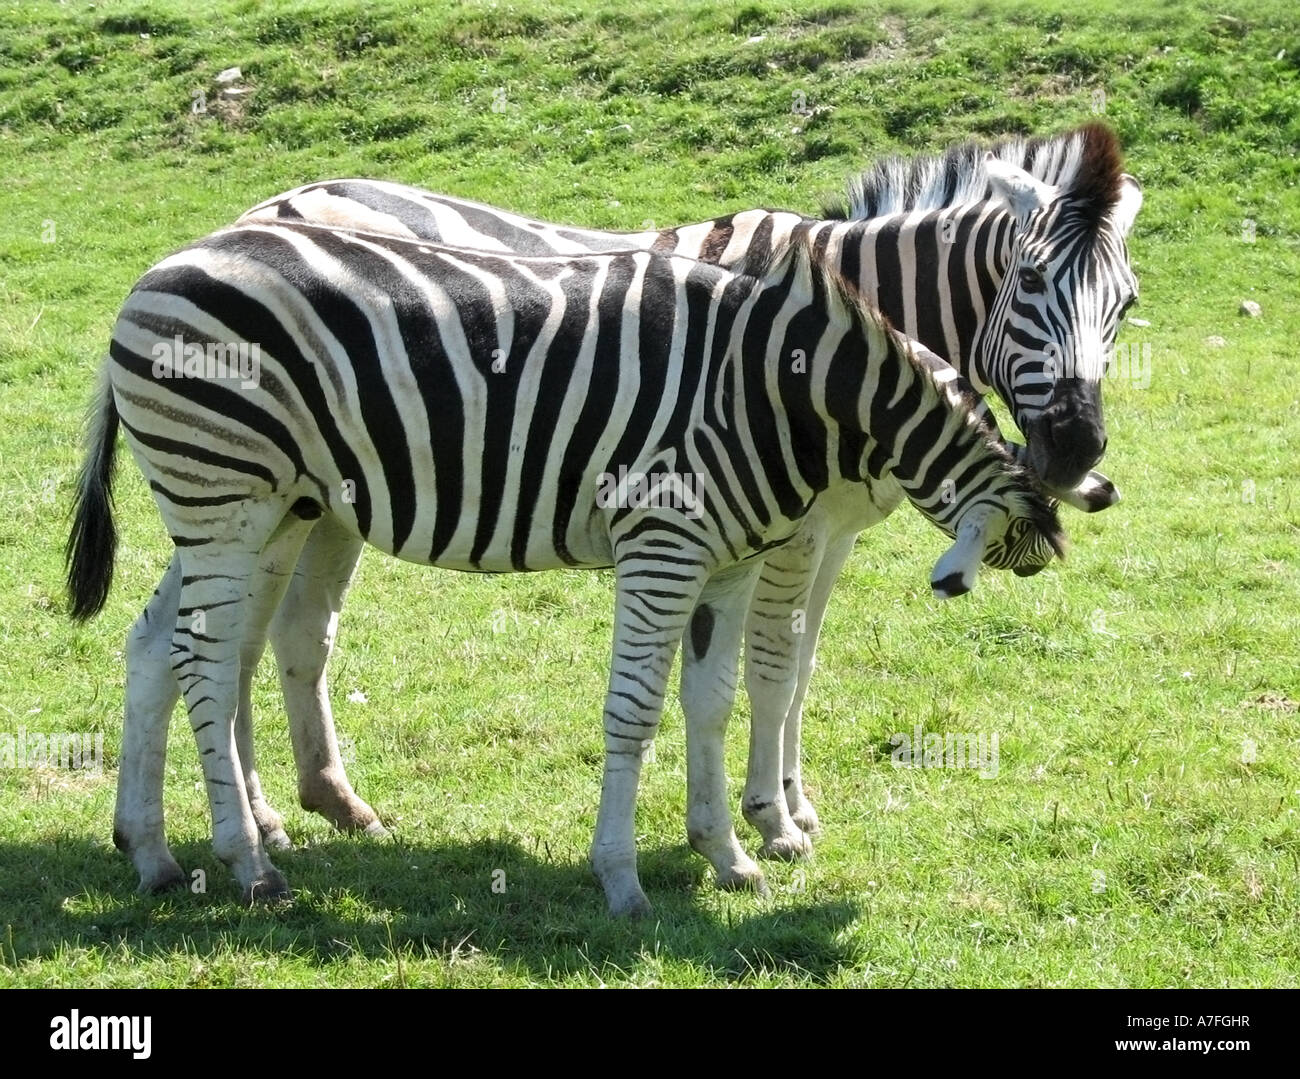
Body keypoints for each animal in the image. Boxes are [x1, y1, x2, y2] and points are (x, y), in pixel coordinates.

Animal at [67, 221, 1068, 914]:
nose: (1082, 476)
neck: (781, 391)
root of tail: (161, 268)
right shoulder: (663, 544)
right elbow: (636, 711)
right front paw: (623, 878)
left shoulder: (730, 562)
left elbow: (713, 700)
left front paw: (727, 854)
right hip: (224, 494)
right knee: (204, 658)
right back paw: (247, 862)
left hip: (252, 507)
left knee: (160, 645)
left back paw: (152, 851)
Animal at [231, 122, 1139, 854]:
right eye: (1029, 284)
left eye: (1126, 304)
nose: (1074, 447)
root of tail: (267, 207)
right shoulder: (790, 531)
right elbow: (772, 666)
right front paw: (771, 818)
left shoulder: (832, 530)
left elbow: (803, 662)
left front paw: (793, 803)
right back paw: (266, 818)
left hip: (326, 500)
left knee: (288, 630)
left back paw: (320, 805)